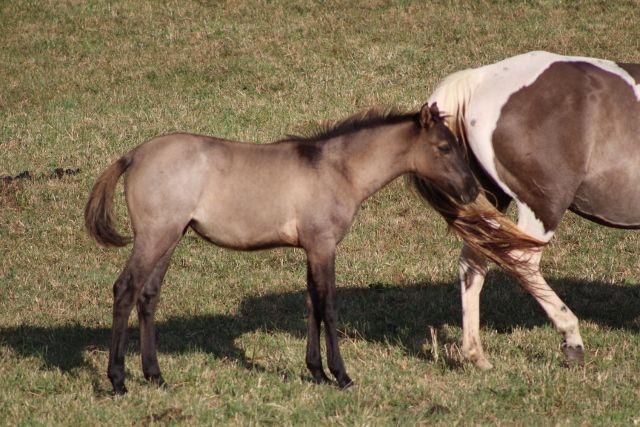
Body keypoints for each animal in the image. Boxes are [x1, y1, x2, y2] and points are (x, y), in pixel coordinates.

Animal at [85, 103, 483, 394]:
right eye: (444, 147)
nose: (472, 191)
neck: (336, 169)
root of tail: (134, 155)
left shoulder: (310, 248)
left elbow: (312, 304)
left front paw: (317, 372)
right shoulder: (323, 245)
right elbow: (329, 306)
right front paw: (341, 375)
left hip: (169, 237)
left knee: (148, 296)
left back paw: (155, 375)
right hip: (155, 237)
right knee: (125, 290)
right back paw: (117, 380)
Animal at [411, 51, 640, 369]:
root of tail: (479, 79)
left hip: (488, 201)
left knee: (473, 264)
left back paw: (476, 355)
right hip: (542, 205)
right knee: (521, 261)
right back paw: (572, 338)